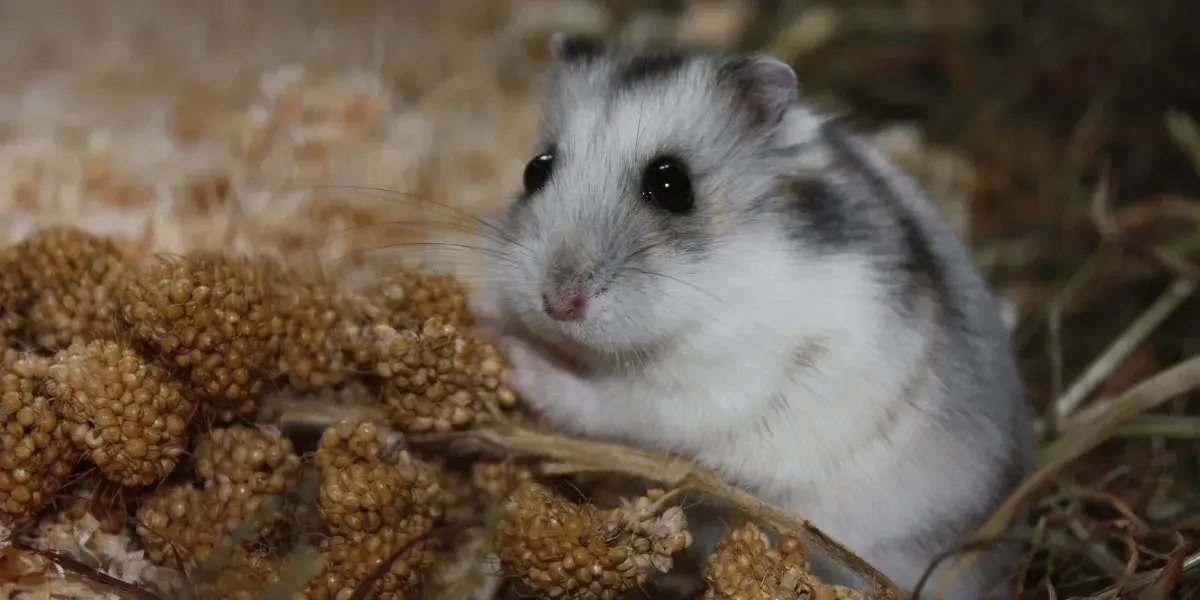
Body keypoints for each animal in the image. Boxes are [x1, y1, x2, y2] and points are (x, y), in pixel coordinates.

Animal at [470, 33, 1035, 599]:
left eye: (673, 185)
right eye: (535, 169)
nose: (556, 304)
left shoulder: (704, 388)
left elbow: (604, 403)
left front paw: (519, 362)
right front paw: (484, 312)